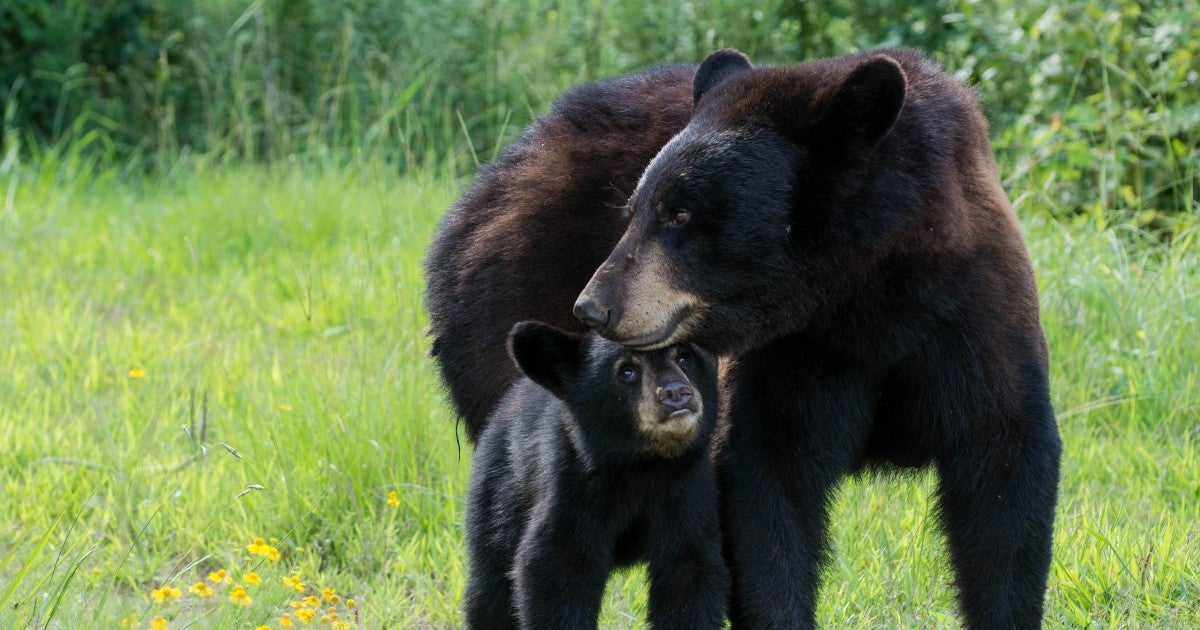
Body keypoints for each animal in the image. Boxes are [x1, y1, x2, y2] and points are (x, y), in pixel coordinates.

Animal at [464, 321, 728, 629]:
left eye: (684, 357)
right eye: (627, 371)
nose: (676, 393)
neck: (642, 463)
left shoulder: (687, 490)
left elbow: (688, 573)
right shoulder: (572, 488)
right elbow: (556, 570)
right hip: (497, 500)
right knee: (489, 591)